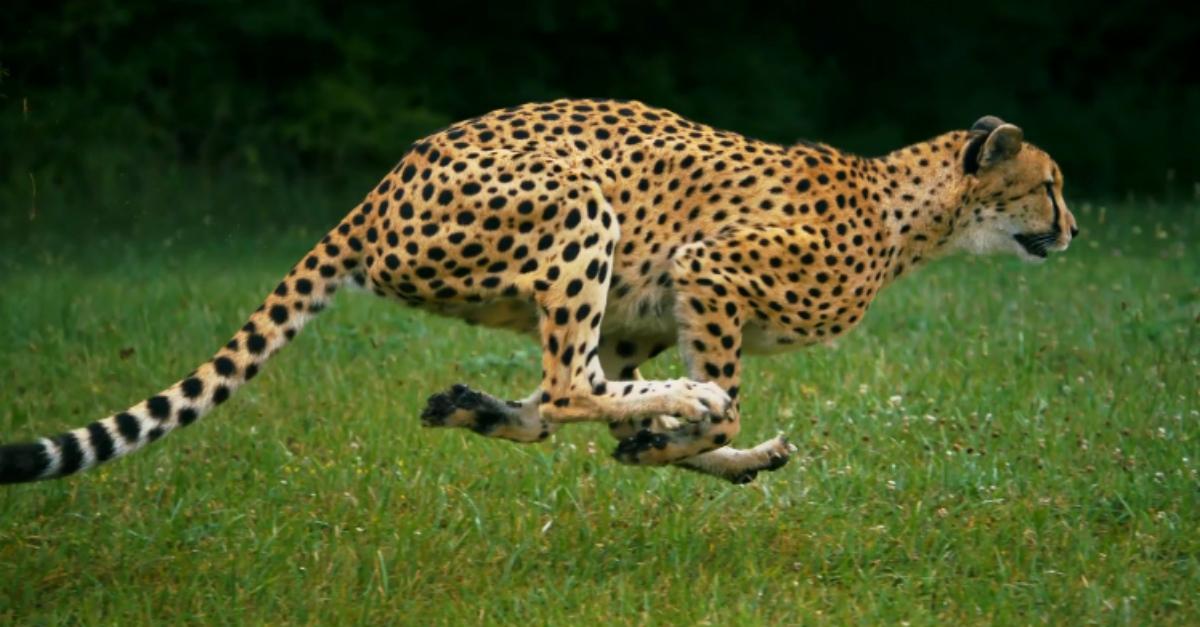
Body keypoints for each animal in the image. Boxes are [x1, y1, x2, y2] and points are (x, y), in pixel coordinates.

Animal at [0, 99, 1077, 486]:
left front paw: (688, 447)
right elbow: (712, 402)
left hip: (587, 286)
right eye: (1051, 185)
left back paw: (471, 405)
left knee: (559, 396)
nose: (1075, 229)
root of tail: (381, 186)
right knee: (567, 385)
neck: (912, 214)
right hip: (576, 211)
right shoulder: (707, 267)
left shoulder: (662, 309)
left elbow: (640, 421)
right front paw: (691, 431)